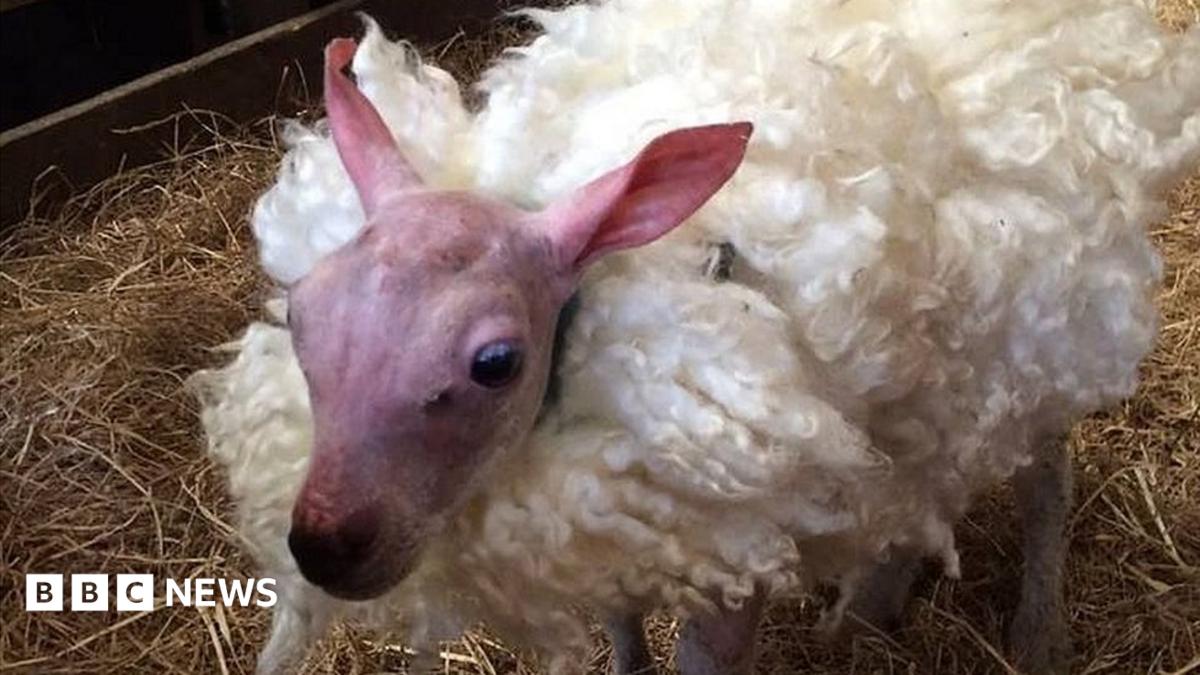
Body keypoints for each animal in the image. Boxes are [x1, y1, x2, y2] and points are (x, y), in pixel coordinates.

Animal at [190, 0, 1200, 673]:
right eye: (305, 312)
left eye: (495, 363)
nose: (324, 545)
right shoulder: (619, 523)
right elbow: (623, 639)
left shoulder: (732, 540)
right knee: (918, 484)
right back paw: (874, 602)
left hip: (1043, 328)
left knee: (1044, 471)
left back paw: (1038, 628)